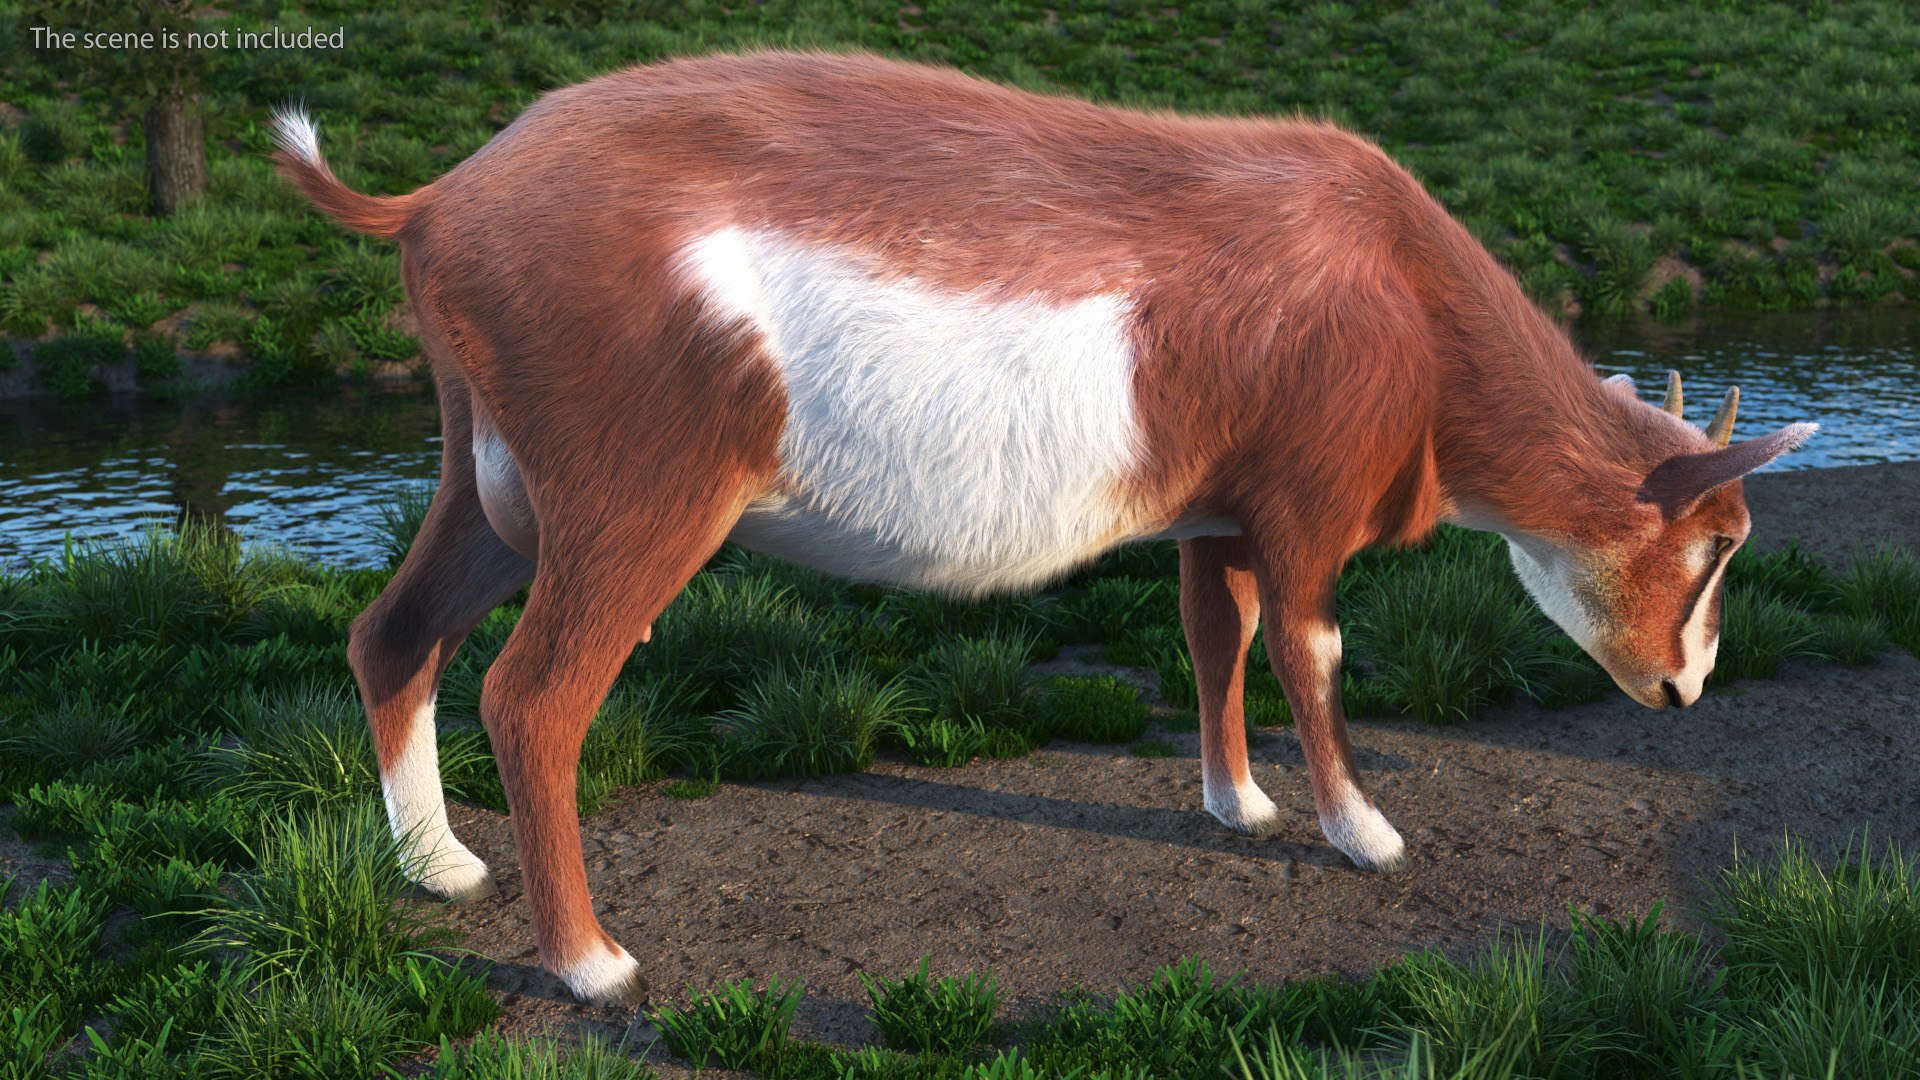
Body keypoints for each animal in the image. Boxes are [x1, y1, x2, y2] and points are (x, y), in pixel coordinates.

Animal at [272, 50, 1814, 1005]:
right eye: (1720, 541)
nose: (1685, 689)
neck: (1389, 278)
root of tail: (442, 195)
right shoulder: (1304, 515)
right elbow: (1311, 656)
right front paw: (1364, 835)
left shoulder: (1215, 518)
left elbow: (1214, 639)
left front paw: (1238, 805)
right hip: (630, 515)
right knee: (533, 696)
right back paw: (593, 965)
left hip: (494, 497)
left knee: (390, 637)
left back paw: (441, 869)